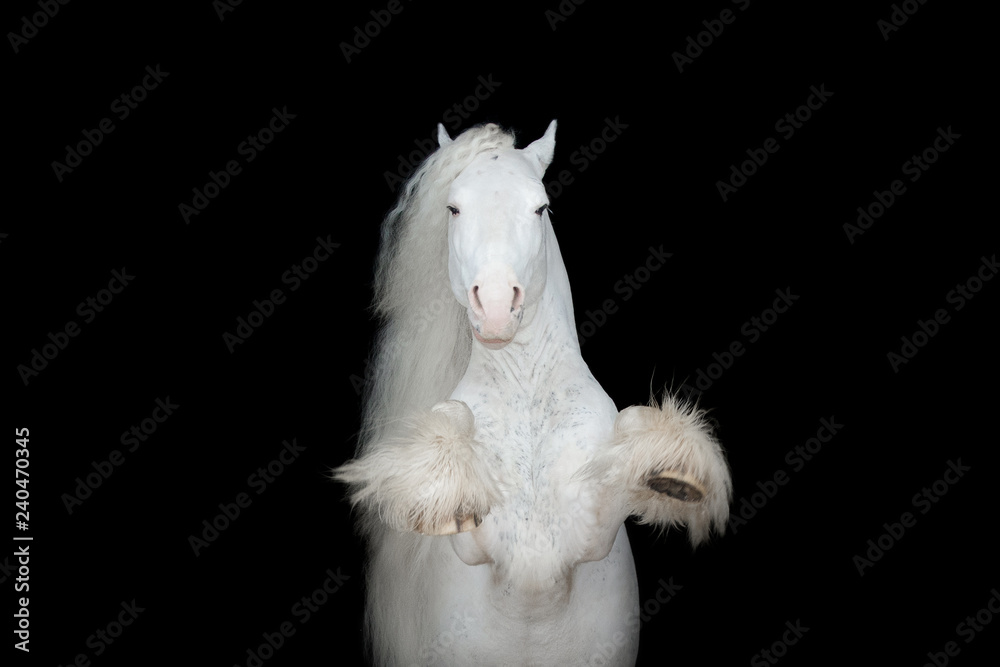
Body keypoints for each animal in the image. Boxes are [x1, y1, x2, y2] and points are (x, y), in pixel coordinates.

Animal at [335, 121, 732, 666]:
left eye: (541, 207)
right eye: (453, 208)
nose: (497, 306)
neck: (527, 404)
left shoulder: (590, 535)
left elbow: (630, 430)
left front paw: (675, 473)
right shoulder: (476, 547)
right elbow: (451, 417)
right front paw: (441, 487)